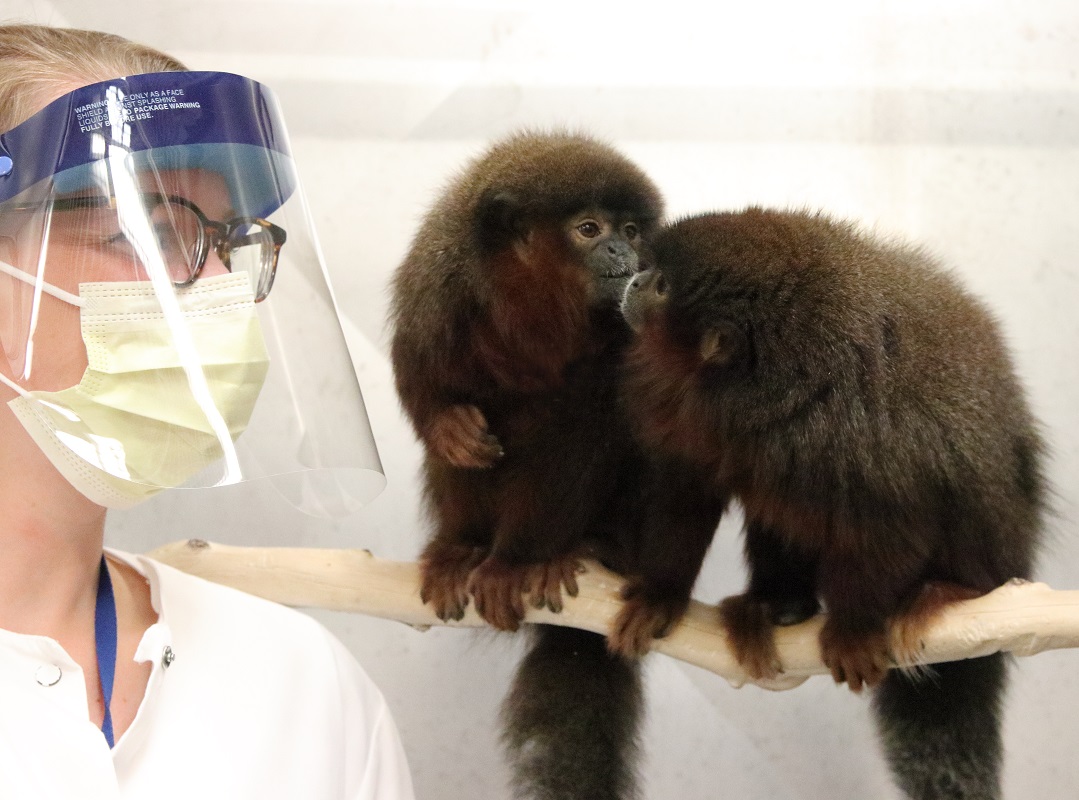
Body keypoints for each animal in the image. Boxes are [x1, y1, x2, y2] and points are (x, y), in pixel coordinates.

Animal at [391, 130, 714, 800]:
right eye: (589, 229)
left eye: (632, 229)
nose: (623, 249)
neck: (532, 311)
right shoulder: (438, 281)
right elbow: (421, 371)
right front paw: (447, 427)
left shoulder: (635, 327)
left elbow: (586, 442)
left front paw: (515, 562)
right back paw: (462, 546)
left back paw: (578, 550)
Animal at [617, 206, 1046, 799]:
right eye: (648, 271)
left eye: (660, 284)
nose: (633, 282)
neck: (754, 383)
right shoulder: (689, 412)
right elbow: (685, 494)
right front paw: (661, 593)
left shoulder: (853, 428)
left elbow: (896, 521)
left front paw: (855, 625)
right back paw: (778, 606)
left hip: (1003, 536)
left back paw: (951, 590)